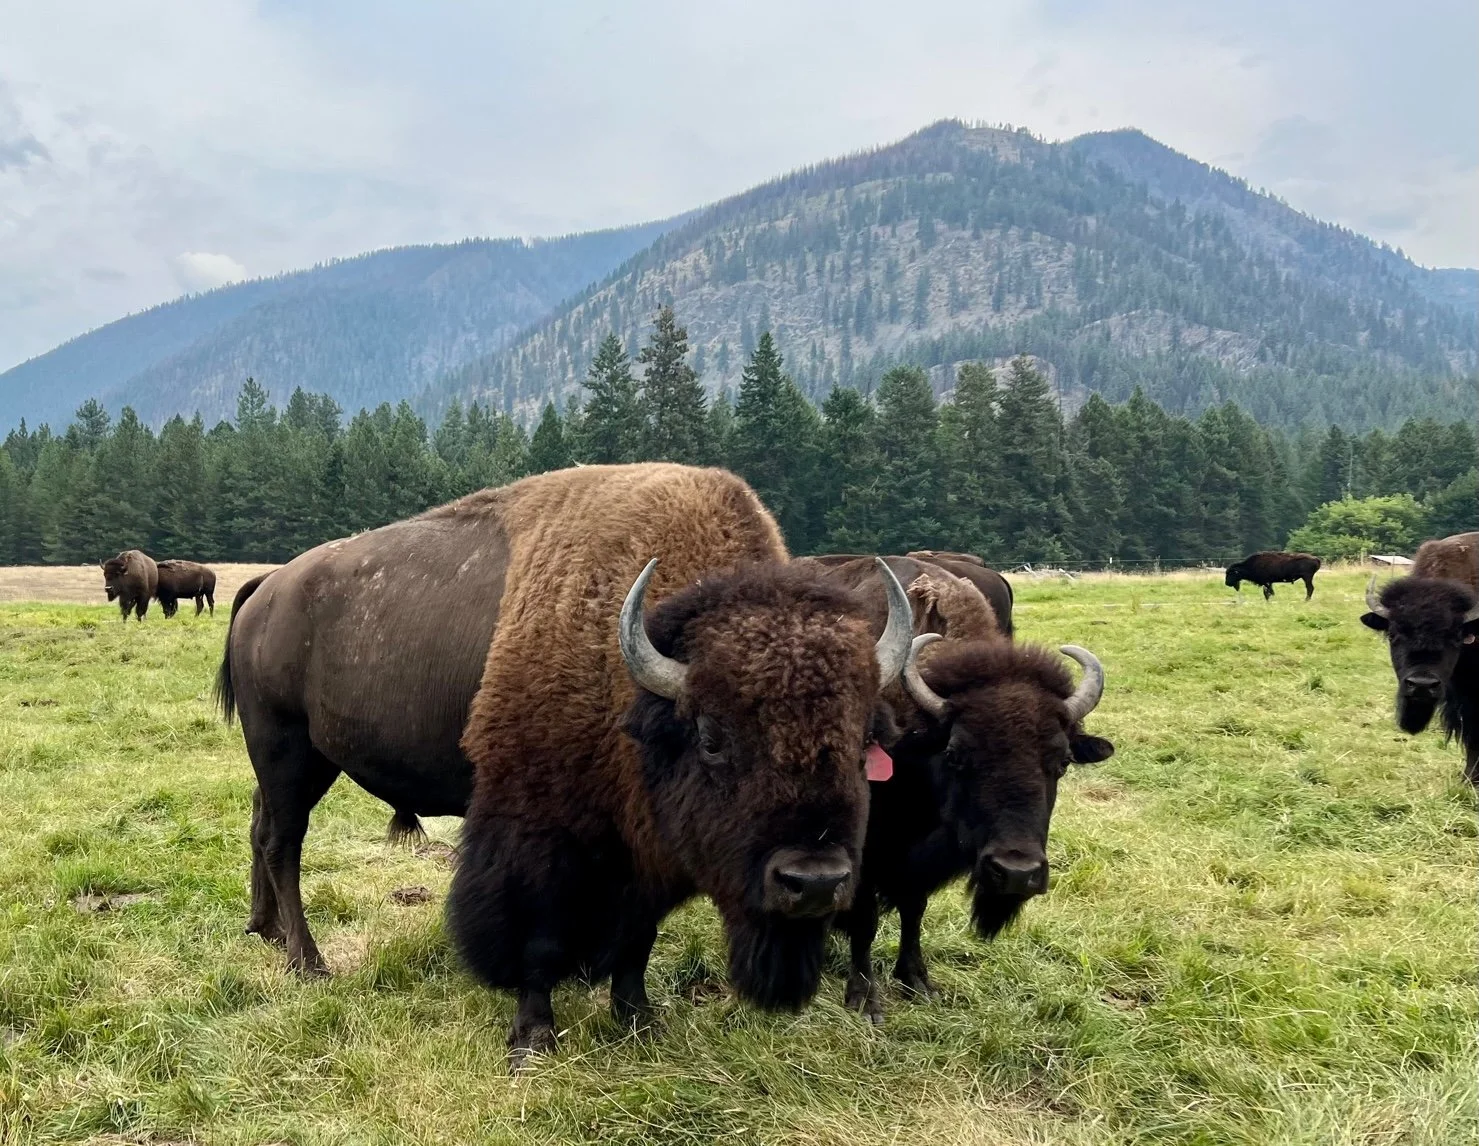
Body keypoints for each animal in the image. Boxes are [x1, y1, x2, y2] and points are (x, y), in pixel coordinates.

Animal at [217, 463, 913, 1067]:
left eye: (863, 741)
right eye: (713, 737)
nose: (814, 881)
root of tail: (265, 590)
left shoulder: (643, 851)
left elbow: (637, 940)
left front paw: (638, 1021)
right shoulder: (536, 839)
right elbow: (539, 938)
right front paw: (532, 1040)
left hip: (291, 766)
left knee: (259, 828)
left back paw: (265, 931)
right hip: (287, 752)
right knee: (283, 843)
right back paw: (307, 962)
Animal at [804, 554, 1112, 1021]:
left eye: (1061, 762)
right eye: (956, 755)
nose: (1016, 873)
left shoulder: (918, 863)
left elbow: (914, 910)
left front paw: (916, 980)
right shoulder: (866, 853)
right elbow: (866, 919)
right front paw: (865, 999)